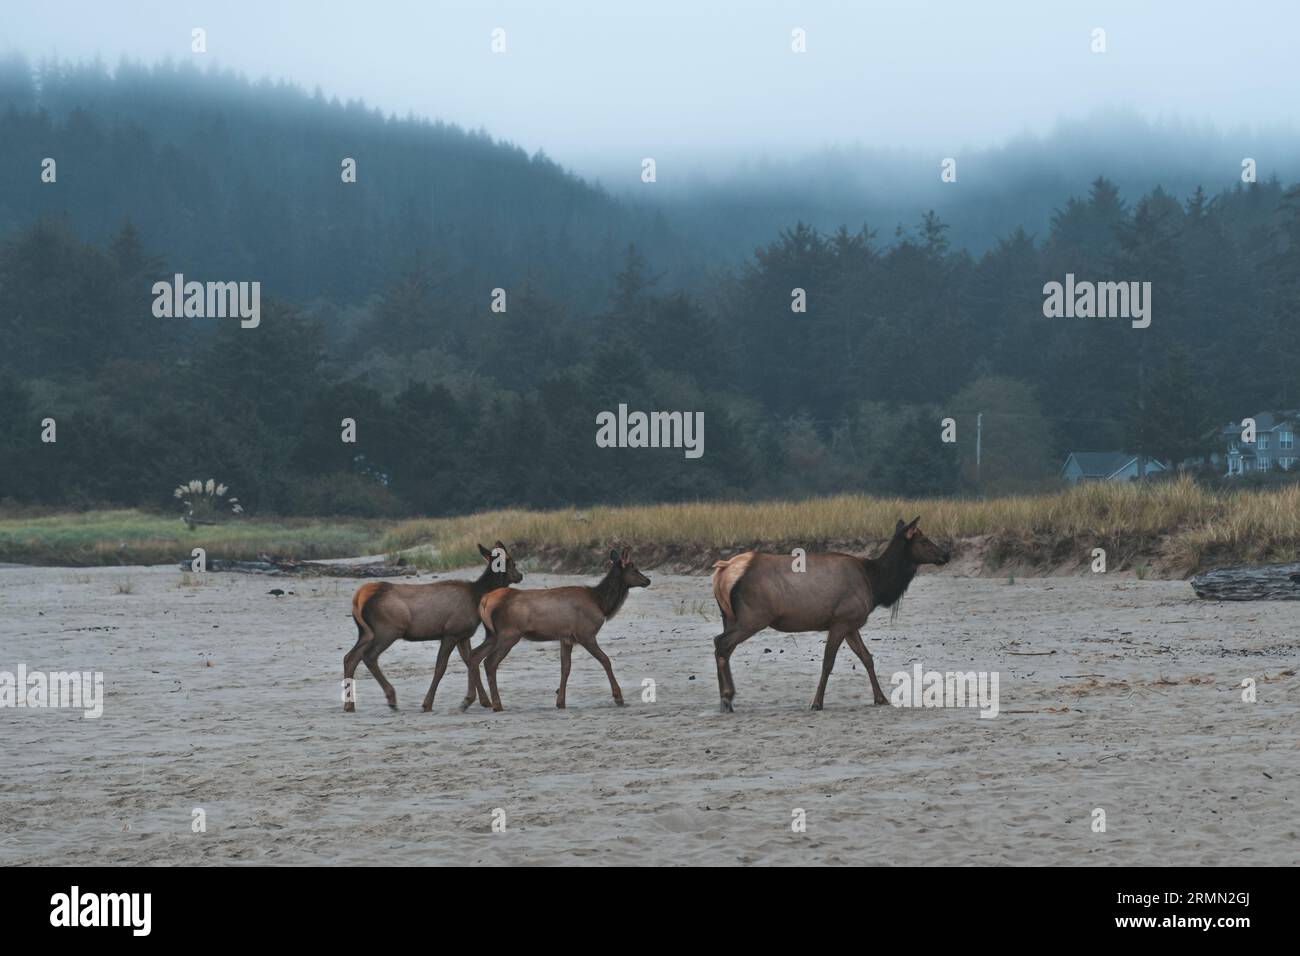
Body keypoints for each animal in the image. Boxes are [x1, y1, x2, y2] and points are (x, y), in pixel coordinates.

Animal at [342, 541, 523, 713]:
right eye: (513, 562)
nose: (520, 575)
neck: (477, 597)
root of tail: (358, 599)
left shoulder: (463, 635)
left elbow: (470, 661)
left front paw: (485, 701)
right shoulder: (451, 633)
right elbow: (440, 668)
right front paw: (427, 704)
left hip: (367, 633)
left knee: (350, 657)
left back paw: (349, 705)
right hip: (387, 630)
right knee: (369, 656)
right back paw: (391, 699)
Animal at [468, 547, 651, 712]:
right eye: (634, 568)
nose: (648, 580)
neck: (601, 604)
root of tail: (484, 601)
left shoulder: (566, 638)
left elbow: (565, 668)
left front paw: (560, 701)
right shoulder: (585, 634)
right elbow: (605, 660)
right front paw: (619, 697)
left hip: (492, 634)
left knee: (475, 655)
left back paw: (474, 701)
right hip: (509, 634)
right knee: (490, 662)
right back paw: (497, 704)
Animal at [709, 517, 949, 713]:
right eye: (924, 539)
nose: (945, 555)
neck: (875, 585)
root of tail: (723, 570)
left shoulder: (851, 624)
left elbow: (867, 658)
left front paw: (881, 698)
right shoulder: (841, 620)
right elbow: (828, 662)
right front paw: (816, 702)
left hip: (729, 616)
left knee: (723, 648)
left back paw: (726, 699)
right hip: (753, 617)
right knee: (721, 642)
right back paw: (727, 699)